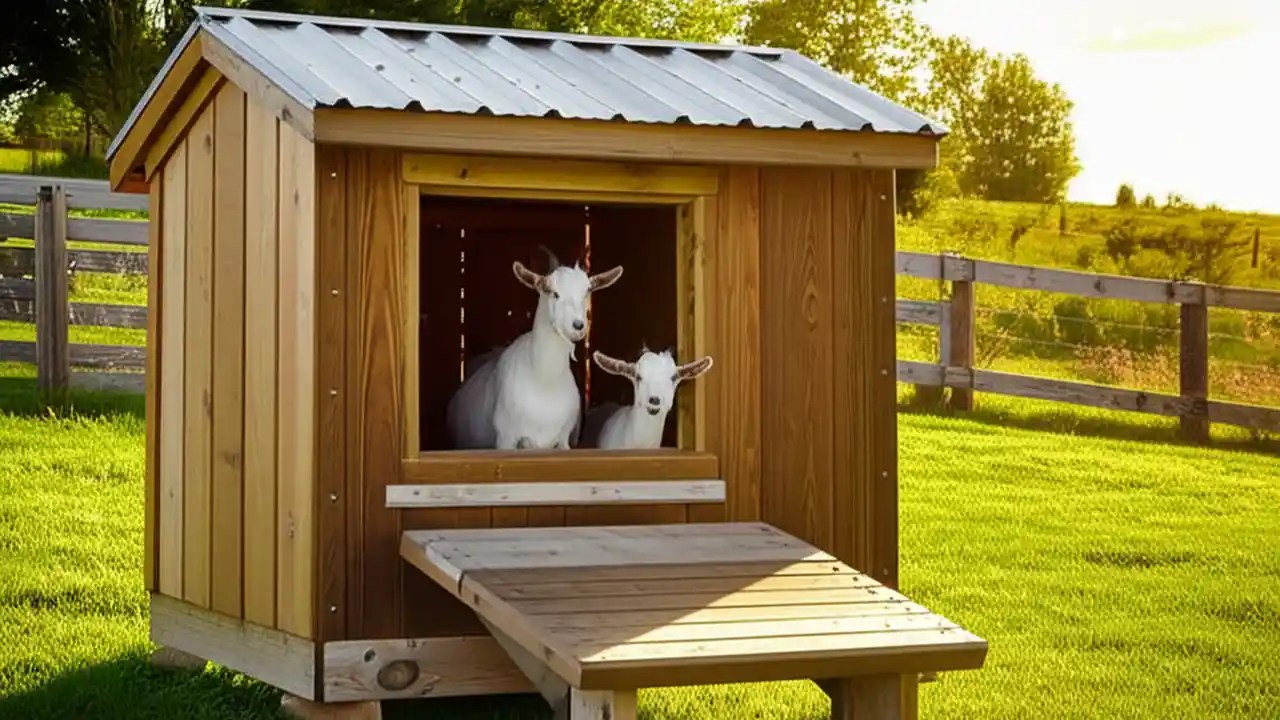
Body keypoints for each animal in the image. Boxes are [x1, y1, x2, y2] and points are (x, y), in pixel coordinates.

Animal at [445, 250, 623, 450]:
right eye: (554, 293)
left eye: (587, 291)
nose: (578, 325)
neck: (544, 382)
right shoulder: (506, 439)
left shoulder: (564, 441)